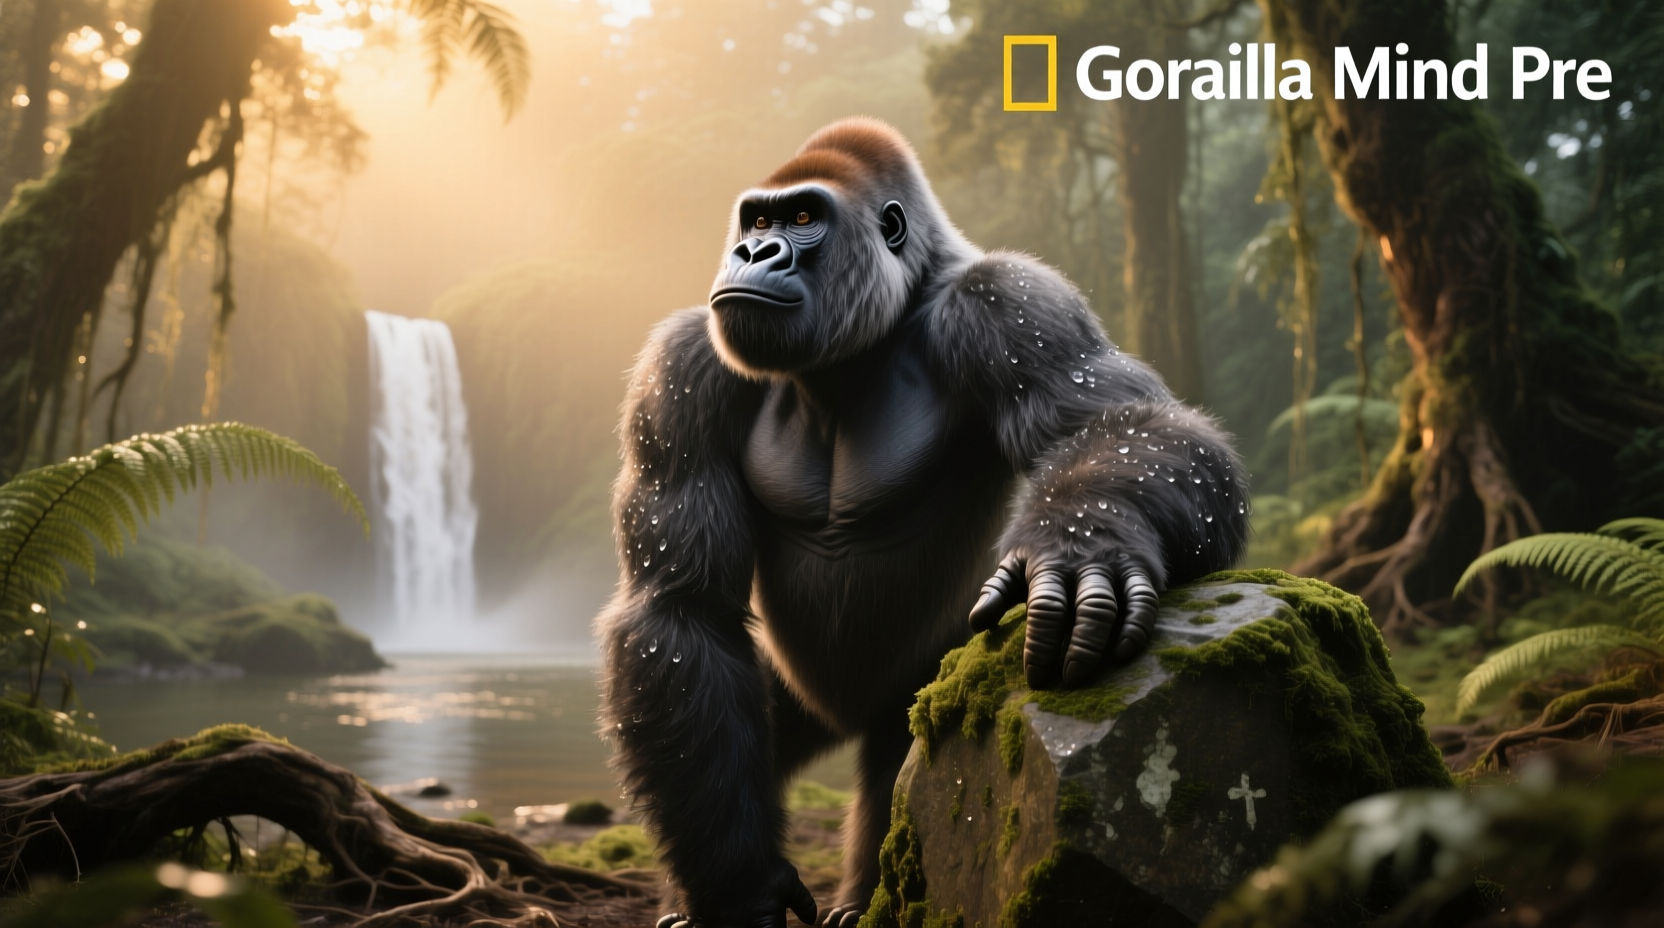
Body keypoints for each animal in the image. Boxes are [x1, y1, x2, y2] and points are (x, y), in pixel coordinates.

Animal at [596, 118, 1249, 928]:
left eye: (803, 218)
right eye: (755, 221)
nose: (753, 254)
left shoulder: (1008, 300)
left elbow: (1126, 424)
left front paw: (1083, 542)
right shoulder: (685, 364)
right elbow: (681, 609)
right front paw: (736, 887)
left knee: (904, 761)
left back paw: (861, 900)